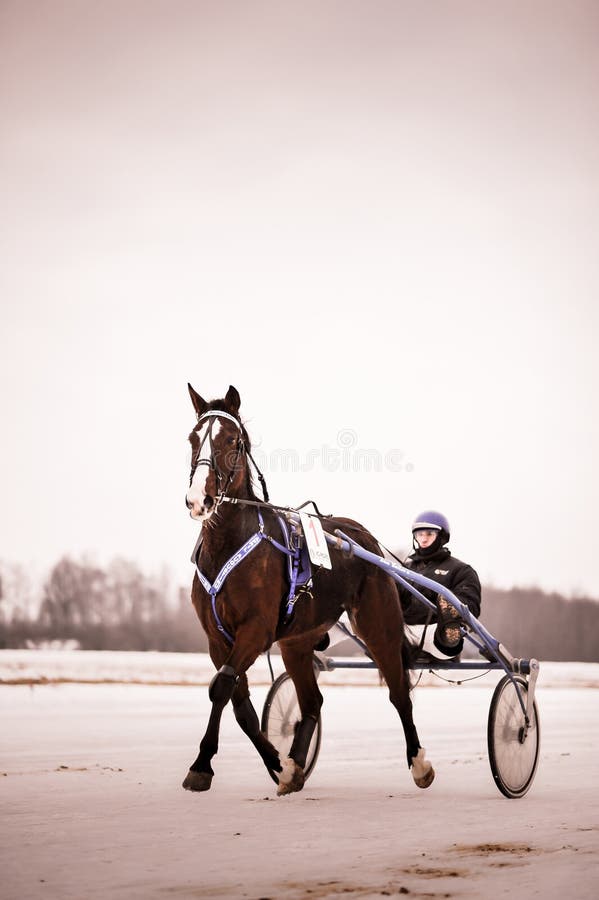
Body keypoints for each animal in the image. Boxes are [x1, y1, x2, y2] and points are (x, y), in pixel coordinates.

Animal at [182, 384, 434, 795]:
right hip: (296, 642)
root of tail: (362, 536)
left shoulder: (256, 629)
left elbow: (221, 689)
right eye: (193, 438)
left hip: (378, 623)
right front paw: (279, 764)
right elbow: (238, 701)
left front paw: (202, 764)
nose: (197, 499)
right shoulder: (217, 638)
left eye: (232, 440)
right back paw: (296, 765)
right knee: (312, 701)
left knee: (399, 693)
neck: (227, 545)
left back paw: (419, 763)